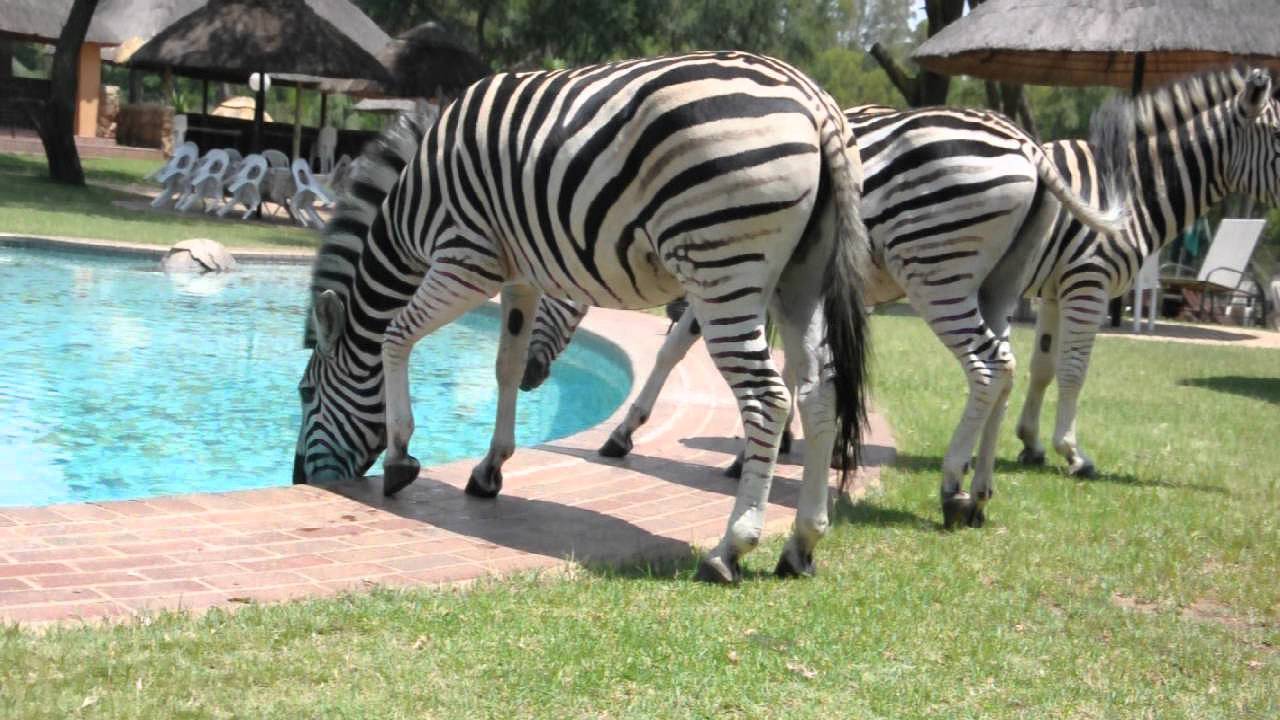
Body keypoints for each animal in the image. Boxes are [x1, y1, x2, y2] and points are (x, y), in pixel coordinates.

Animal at [293, 51, 874, 584]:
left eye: (303, 393)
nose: (299, 481)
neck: (412, 203)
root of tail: (815, 102)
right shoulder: (519, 276)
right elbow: (506, 368)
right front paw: (489, 469)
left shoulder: (466, 261)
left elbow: (395, 338)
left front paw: (400, 458)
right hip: (799, 282)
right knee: (819, 393)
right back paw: (801, 544)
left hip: (722, 270)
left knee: (768, 399)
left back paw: (729, 549)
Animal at [524, 66, 1280, 520]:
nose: (529, 380)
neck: (1124, 182)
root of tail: (1032, 155)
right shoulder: (1076, 283)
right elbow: (1052, 369)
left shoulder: (1078, 287)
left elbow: (1062, 371)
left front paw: (1061, 449)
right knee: (1002, 367)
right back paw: (970, 487)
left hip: (943, 272)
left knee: (993, 367)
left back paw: (957, 485)